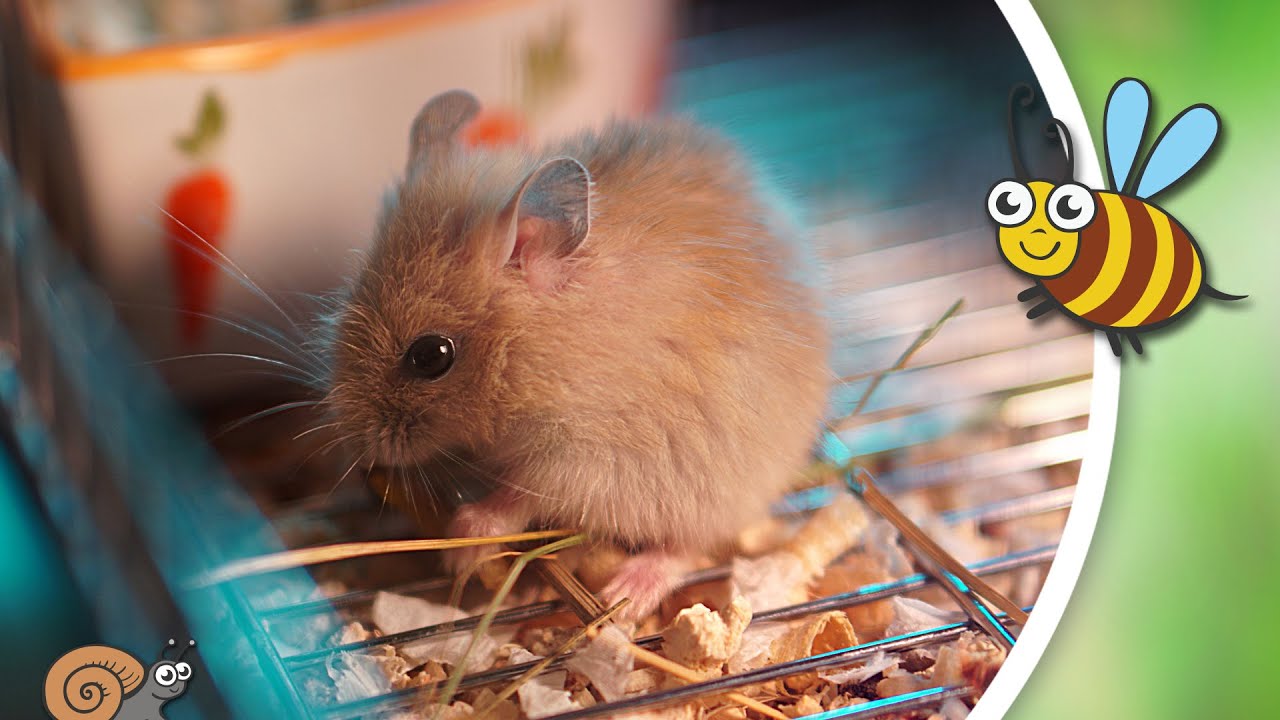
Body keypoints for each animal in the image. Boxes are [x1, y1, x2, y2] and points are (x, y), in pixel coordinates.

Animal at [321, 90, 831, 617]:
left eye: (431, 356)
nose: (362, 456)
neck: (545, 346)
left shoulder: (579, 457)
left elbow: (517, 497)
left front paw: (463, 542)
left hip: (714, 489)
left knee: (686, 547)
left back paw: (623, 596)